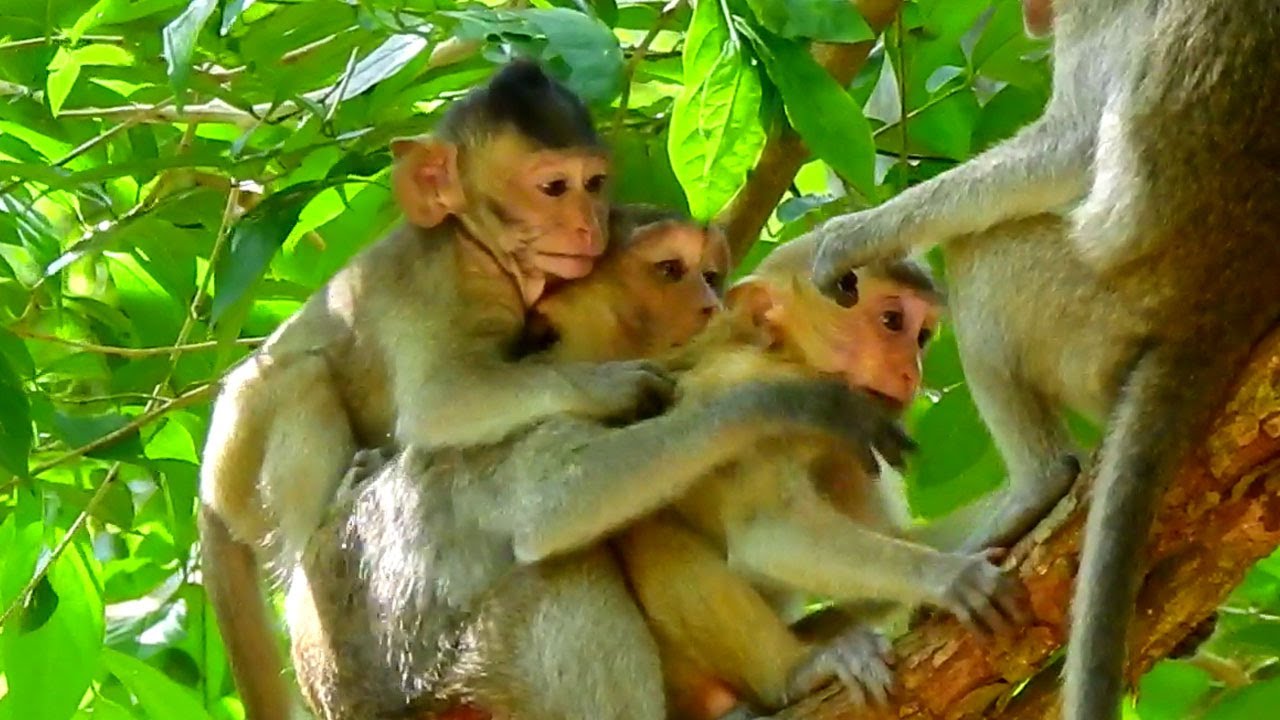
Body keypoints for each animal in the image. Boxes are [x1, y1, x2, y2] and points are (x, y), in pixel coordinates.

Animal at [198, 61, 675, 720]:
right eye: (555, 188)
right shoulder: (449, 288)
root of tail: (206, 493)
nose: (589, 223)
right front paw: (612, 387)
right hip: (242, 464)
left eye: (595, 182)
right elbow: (442, 403)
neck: (473, 241)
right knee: (302, 380)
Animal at [284, 206, 914, 720]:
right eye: (669, 270)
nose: (711, 304)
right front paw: (779, 404)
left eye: (710, 274)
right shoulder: (524, 416)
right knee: (564, 572)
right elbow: (555, 506)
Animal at [615, 235, 1025, 720]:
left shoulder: (855, 441)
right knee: (651, 535)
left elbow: (891, 535)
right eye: (892, 322)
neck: (785, 359)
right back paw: (796, 671)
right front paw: (950, 575)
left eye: (922, 336)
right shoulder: (752, 393)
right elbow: (769, 533)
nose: (912, 371)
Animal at [809, 2, 1280, 718]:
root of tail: (1222, 302)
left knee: (979, 258)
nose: (1033, 13)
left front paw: (861, 231)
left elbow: (1068, 145)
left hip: (1090, 309)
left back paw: (1040, 485)